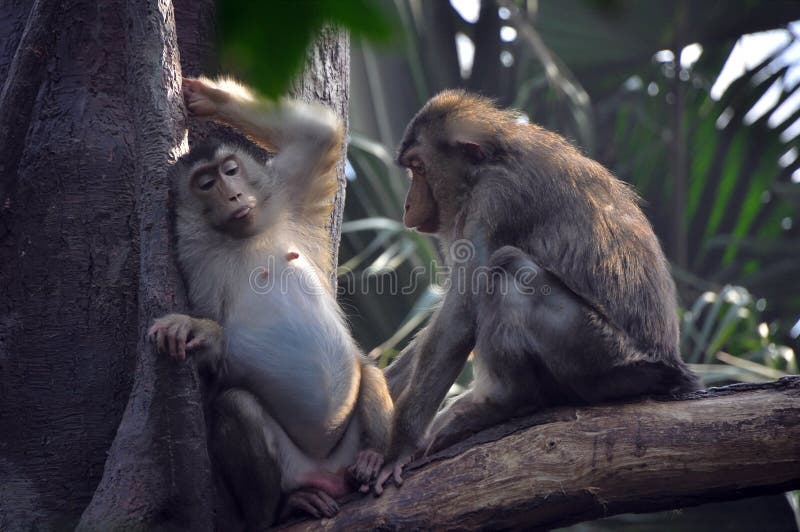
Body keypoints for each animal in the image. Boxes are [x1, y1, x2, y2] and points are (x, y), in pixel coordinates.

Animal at [147, 77, 393, 528]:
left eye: (230, 170)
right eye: (206, 184)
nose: (233, 195)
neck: (243, 234)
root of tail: (328, 473)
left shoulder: (287, 196)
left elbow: (318, 134)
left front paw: (211, 98)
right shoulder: (191, 255)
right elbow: (216, 354)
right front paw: (195, 328)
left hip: (344, 449)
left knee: (366, 370)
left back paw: (372, 458)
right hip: (293, 468)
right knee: (237, 405)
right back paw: (284, 507)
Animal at [374, 89, 700, 493]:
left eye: (418, 167)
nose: (407, 204)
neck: (493, 159)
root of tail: (668, 362)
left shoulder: (496, 199)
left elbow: (460, 311)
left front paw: (397, 448)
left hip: (599, 351)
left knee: (506, 268)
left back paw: (501, 400)